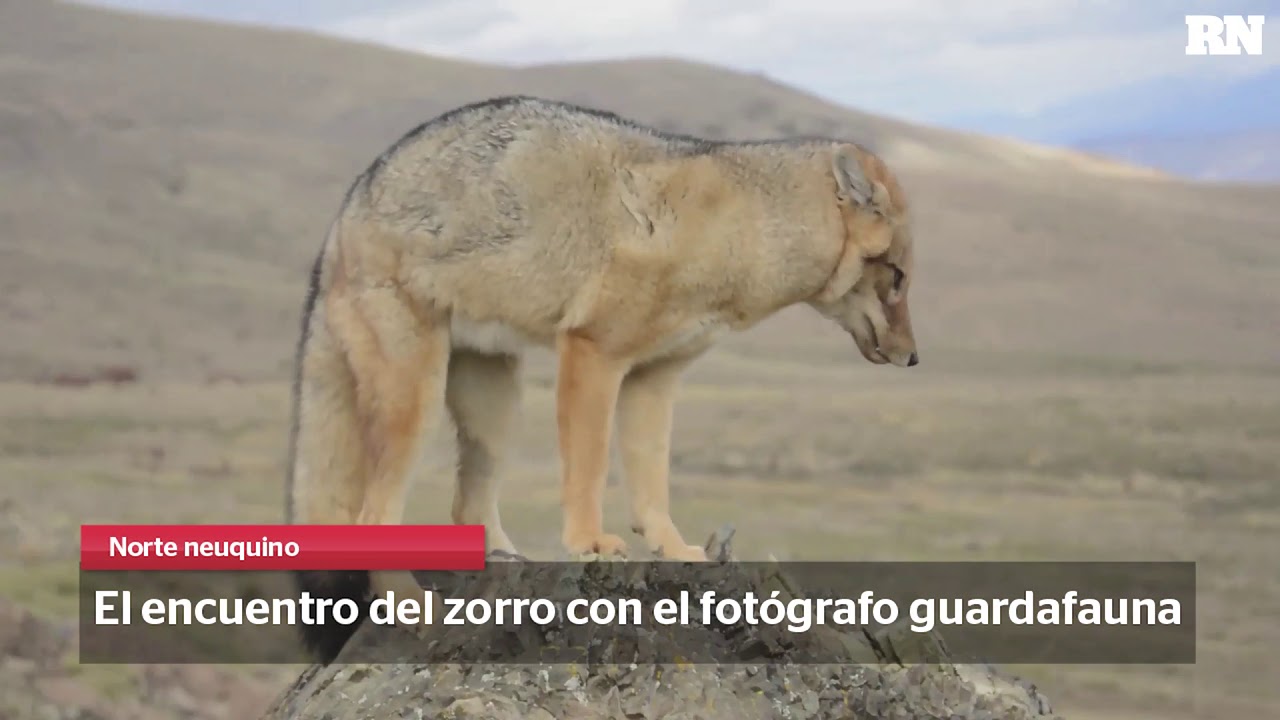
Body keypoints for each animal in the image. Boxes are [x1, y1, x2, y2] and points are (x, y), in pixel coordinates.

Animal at [284, 95, 919, 662]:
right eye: (898, 278)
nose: (914, 359)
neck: (739, 228)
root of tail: (343, 213)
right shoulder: (594, 354)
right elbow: (587, 470)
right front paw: (589, 544)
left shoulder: (654, 377)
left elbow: (651, 486)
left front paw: (675, 550)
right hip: (414, 406)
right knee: (372, 519)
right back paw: (417, 606)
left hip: (497, 411)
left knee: (467, 509)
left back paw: (508, 568)